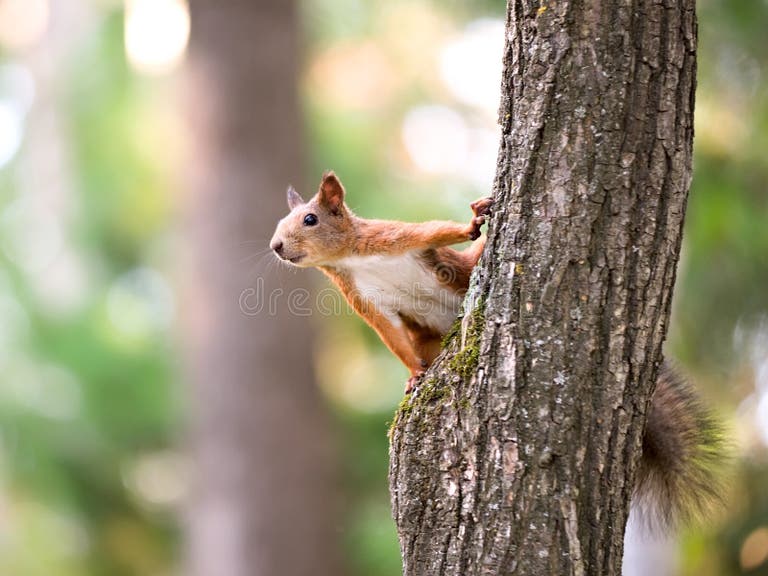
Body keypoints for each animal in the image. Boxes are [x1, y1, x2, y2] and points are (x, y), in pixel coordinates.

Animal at [270, 171, 725, 528]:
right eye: (281, 222)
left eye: (309, 219)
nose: (275, 246)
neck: (352, 259)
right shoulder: (365, 302)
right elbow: (393, 338)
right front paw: (415, 375)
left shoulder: (393, 238)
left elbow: (436, 231)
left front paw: (474, 221)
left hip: (462, 271)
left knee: (469, 259)